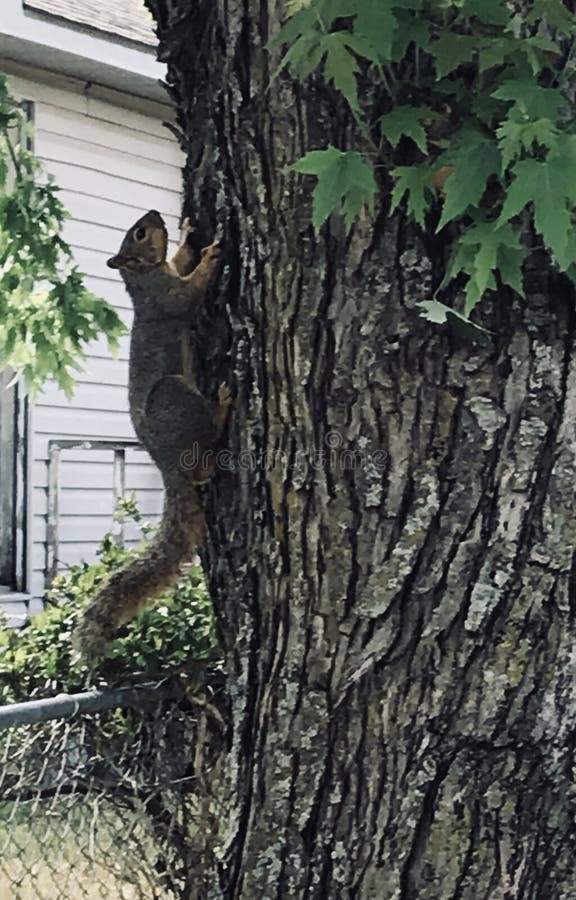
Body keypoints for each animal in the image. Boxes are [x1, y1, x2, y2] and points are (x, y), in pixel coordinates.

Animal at [75, 210, 230, 657]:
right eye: (140, 234)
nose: (156, 215)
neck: (143, 276)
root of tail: (165, 464)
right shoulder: (167, 297)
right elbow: (189, 294)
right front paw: (210, 256)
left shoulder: (168, 273)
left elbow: (180, 262)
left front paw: (188, 234)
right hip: (175, 397)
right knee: (201, 460)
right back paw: (222, 407)